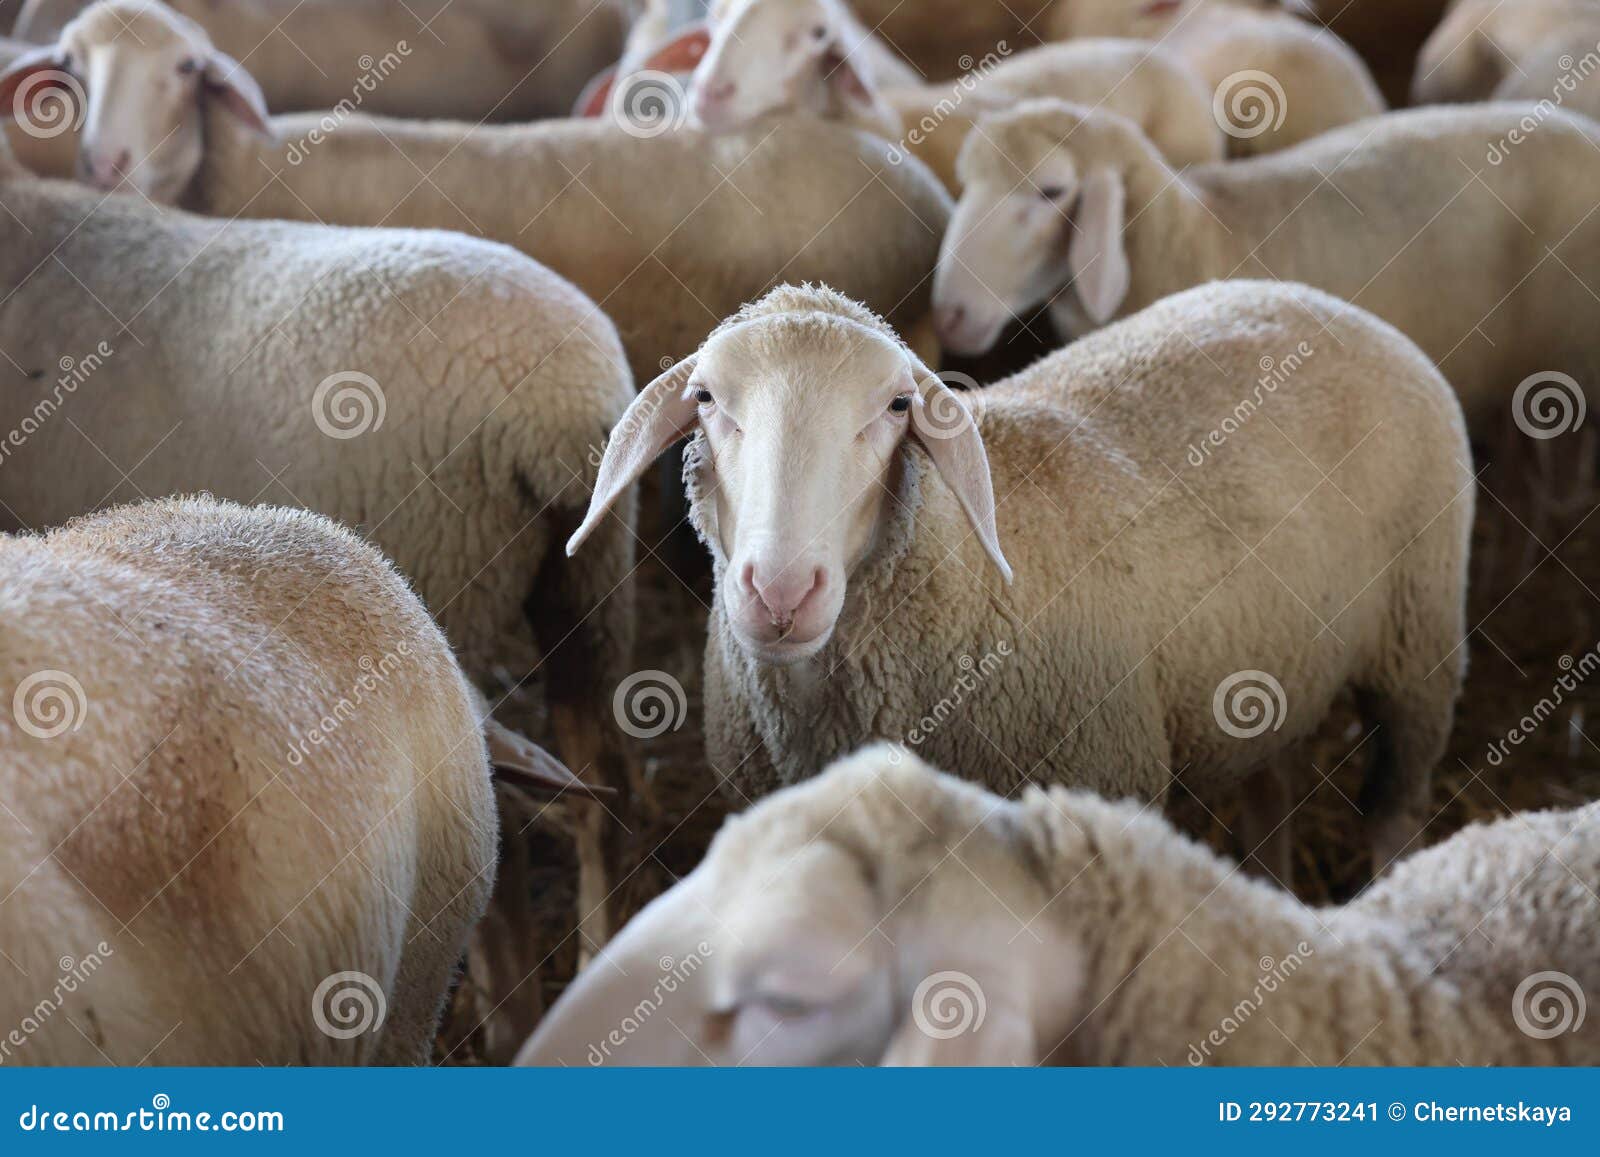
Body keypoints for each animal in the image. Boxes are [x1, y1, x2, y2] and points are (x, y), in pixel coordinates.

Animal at [566, 279, 1474, 873]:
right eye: (706, 398)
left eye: (897, 406)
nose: (782, 591)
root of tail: (1331, 303)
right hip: (1268, 661)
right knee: (1270, 786)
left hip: (1420, 643)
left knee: (1395, 806)